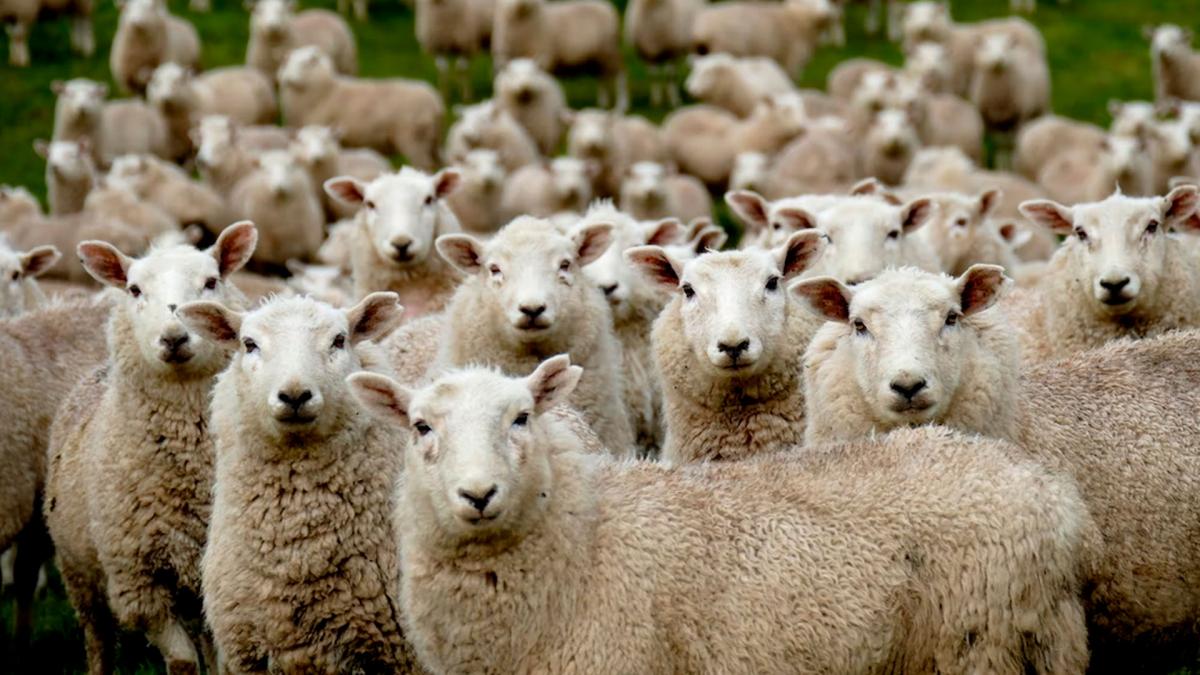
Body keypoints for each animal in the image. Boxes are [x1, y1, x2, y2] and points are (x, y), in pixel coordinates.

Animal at [44, 223, 257, 674]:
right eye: (135, 289)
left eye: (211, 281)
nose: (174, 337)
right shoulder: (139, 584)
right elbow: (182, 662)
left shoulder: (213, 577)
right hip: (79, 574)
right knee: (98, 639)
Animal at [279, 47, 444, 170]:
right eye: (287, 62)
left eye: (305, 64)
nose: (286, 78)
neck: (326, 91)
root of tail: (434, 100)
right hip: (432, 140)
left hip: (414, 139)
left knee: (426, 165)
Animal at [347, 360, 1093, 675]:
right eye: (420, 427)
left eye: (522, 417)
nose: (478, 494)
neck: (583, 542)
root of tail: (1055, 497)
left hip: (981, 643)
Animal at [492, 0, 626, 110]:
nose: (521, 3)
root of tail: (605, 5)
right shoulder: (505, 58)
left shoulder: (544, 58)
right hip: (598, 57)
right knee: (603, 76)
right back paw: (603, 102)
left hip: (609, 51)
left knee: (620, 75)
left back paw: (621, 106)